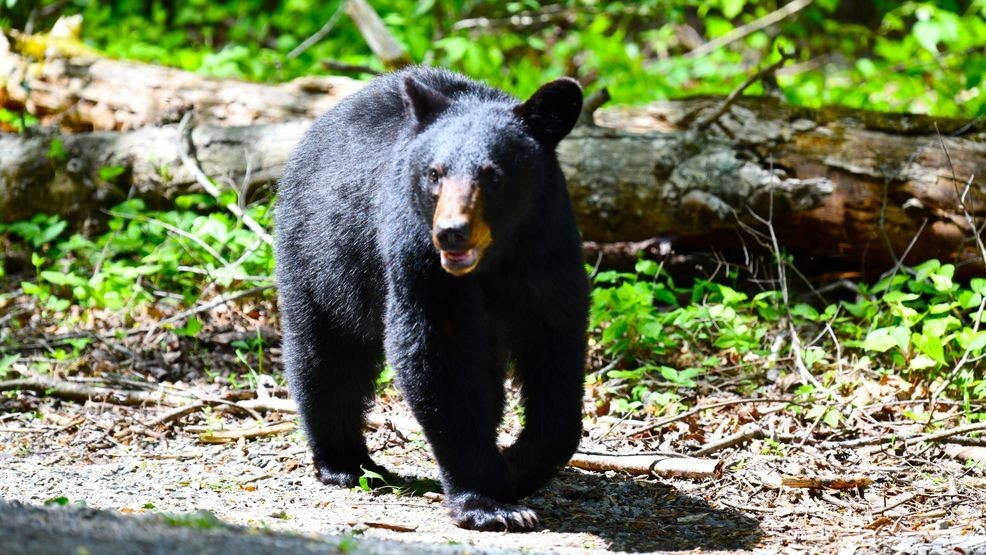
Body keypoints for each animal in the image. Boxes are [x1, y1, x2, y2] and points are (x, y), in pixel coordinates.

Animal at [275, 67, 588, 532]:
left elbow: (556, 350)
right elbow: (433, 353)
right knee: (325, 357)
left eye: (493, 175)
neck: (494, 261)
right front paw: (489, 502)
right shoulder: (416, 258)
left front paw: (517, 464)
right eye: (435, 173)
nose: (451, 232)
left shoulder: (548, 255)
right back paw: (345, 462)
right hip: (320, 258)